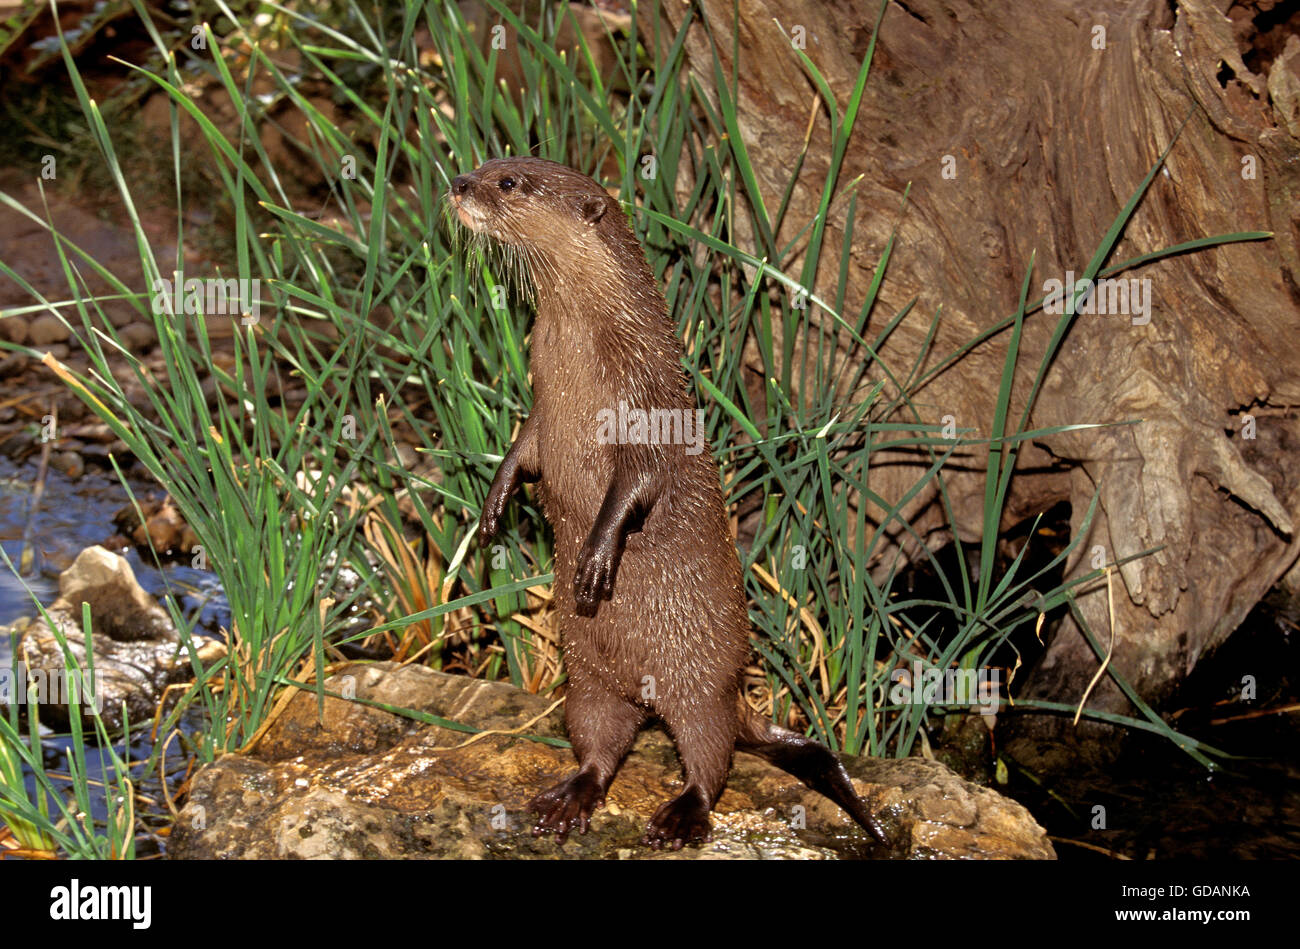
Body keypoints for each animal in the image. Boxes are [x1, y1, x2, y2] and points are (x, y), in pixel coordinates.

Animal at [451, 156, 887, 850]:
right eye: (489, 163)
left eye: (511, 182)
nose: (459, 184)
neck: (588, 346)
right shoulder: (541, 407)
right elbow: (522, 451)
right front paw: (493, 508)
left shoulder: (648, 405)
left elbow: (639, 482)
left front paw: (598, 557)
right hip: (588, 683)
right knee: (601, 745)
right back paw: (570, 798)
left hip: (701, 684)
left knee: (711, 754)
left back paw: (681, 815)